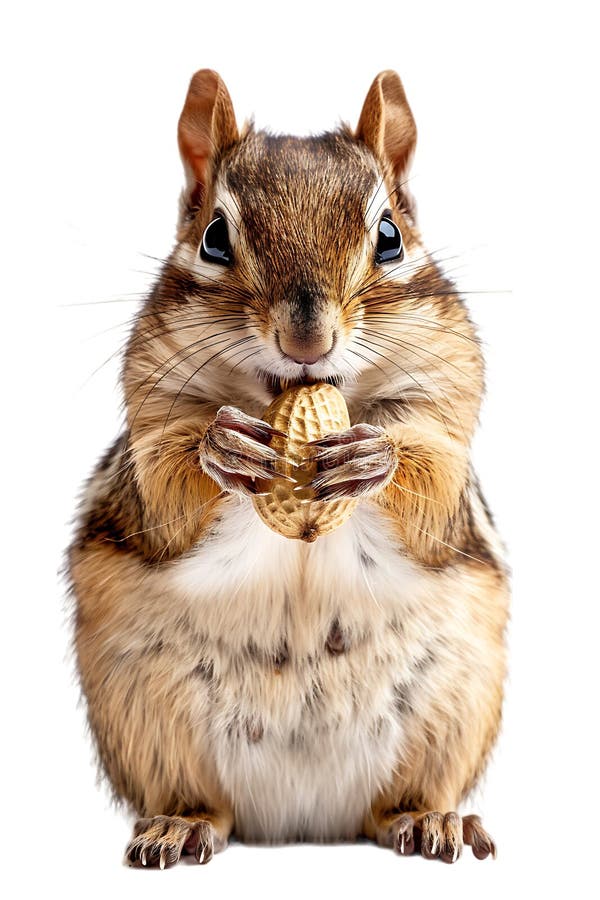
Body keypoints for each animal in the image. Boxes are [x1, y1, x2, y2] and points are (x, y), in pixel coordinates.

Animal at [68, 68, 509, 868]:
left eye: (390, 237)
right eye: (214, 237)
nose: (308, 337)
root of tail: (302, 823)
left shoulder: (448, 412)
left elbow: (431, 488)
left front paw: (374, 454)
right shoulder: (146, 430)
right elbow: (164, 496)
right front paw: (221, 448)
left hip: (452, 715)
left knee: (398, 802)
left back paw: (432, 819)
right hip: (151, 723)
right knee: (204, 804)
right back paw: (180, 826)